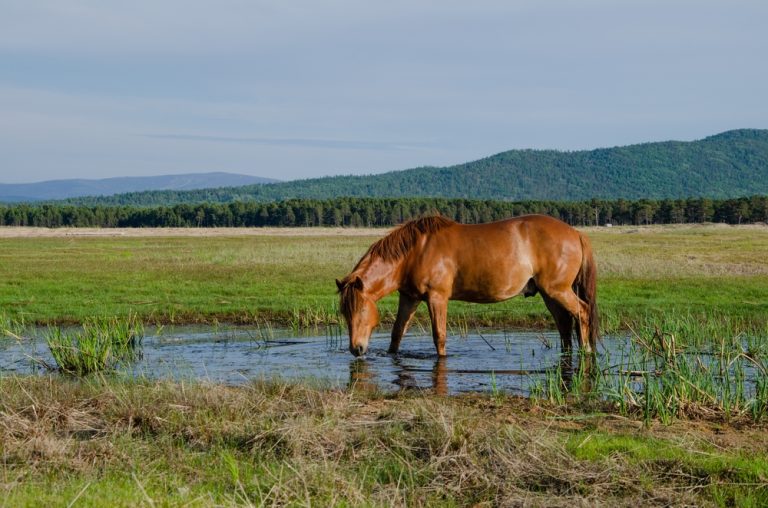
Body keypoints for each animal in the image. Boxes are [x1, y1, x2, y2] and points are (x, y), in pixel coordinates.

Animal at [336, 214, 598, 358]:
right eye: (344, 312)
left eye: (361, 309)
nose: (356, 349)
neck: (414, 252)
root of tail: (575, 233)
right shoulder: (409, 298)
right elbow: (396, 334)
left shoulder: (437, 298)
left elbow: (439, 336)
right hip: (549, 294)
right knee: (564, 324)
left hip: (557, 290)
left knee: (583, 313)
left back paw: (586, 351)